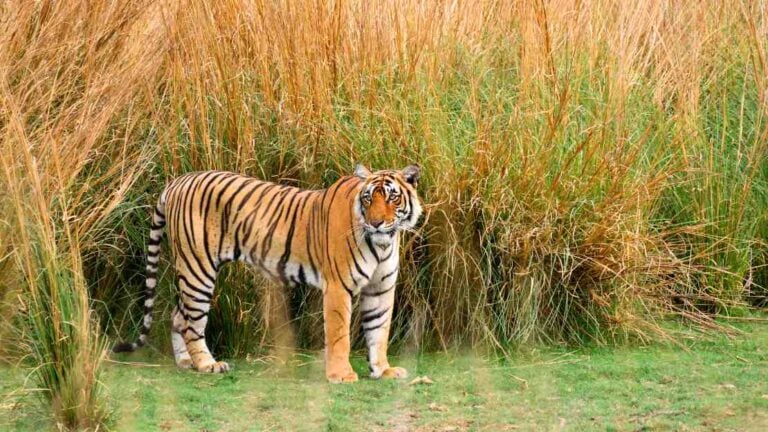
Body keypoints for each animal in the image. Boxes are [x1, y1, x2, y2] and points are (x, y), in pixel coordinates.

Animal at [114, 164, 423, 383]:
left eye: (392, 198)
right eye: (368, 199)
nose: (376, 223)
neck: (383, 243)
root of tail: (177, 181)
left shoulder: (381, 288)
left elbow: (379, 331)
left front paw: (383, 370)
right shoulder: (338, 287)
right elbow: (339, 335)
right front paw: (341, 375)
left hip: (191, 271)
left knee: (178, 315)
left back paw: (186, 362)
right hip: (197, 268)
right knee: (192, 321)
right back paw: (207, 364)